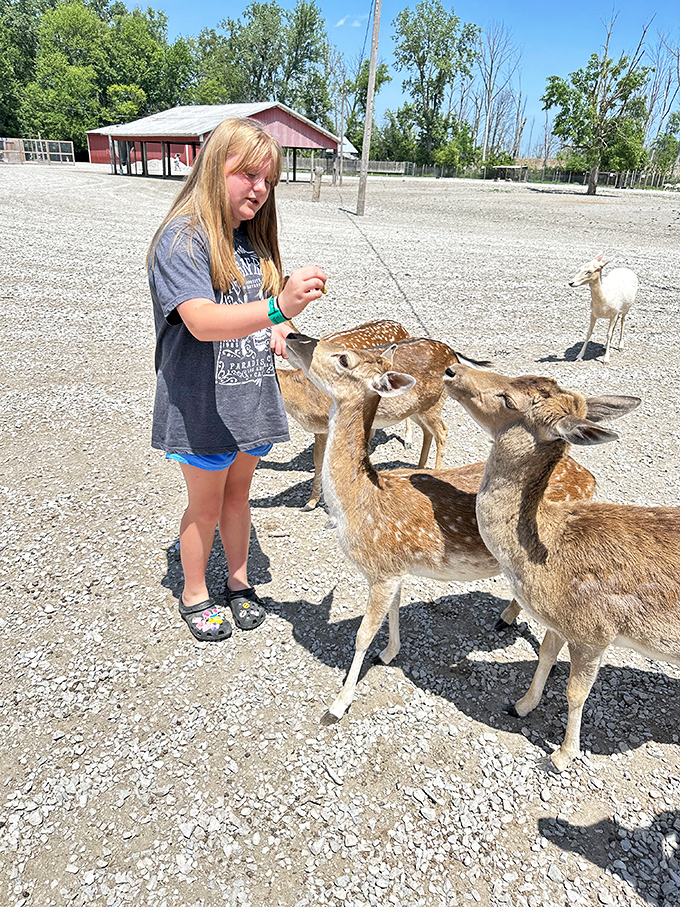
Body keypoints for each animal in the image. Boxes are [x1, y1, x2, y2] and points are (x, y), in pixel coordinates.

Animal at [278, 320, 453, 511]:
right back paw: (418, 468)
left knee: (442, 431)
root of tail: (453, 355)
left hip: (433, 403)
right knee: (428, 431)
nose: (291, 336)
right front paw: (314, 501)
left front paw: (313, 503)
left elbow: (321, 462)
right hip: (417, 409)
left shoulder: (325, 426)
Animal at [284, 333, 598, 720]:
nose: (293, 337)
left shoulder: (382, 569)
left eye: (343, 358)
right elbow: (393, 612)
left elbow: (362, 634)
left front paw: (338, 704)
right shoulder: (397, 569)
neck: (360, 502)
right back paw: (506, 617)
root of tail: (589, 478)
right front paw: (389, 653)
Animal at [443, 363, 680, 771]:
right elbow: (544, 655)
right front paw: (520, 706)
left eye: (509, 399)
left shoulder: (594, 631)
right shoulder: (557, 621)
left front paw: (562, 755)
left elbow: (575, 692)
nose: (452, 368)